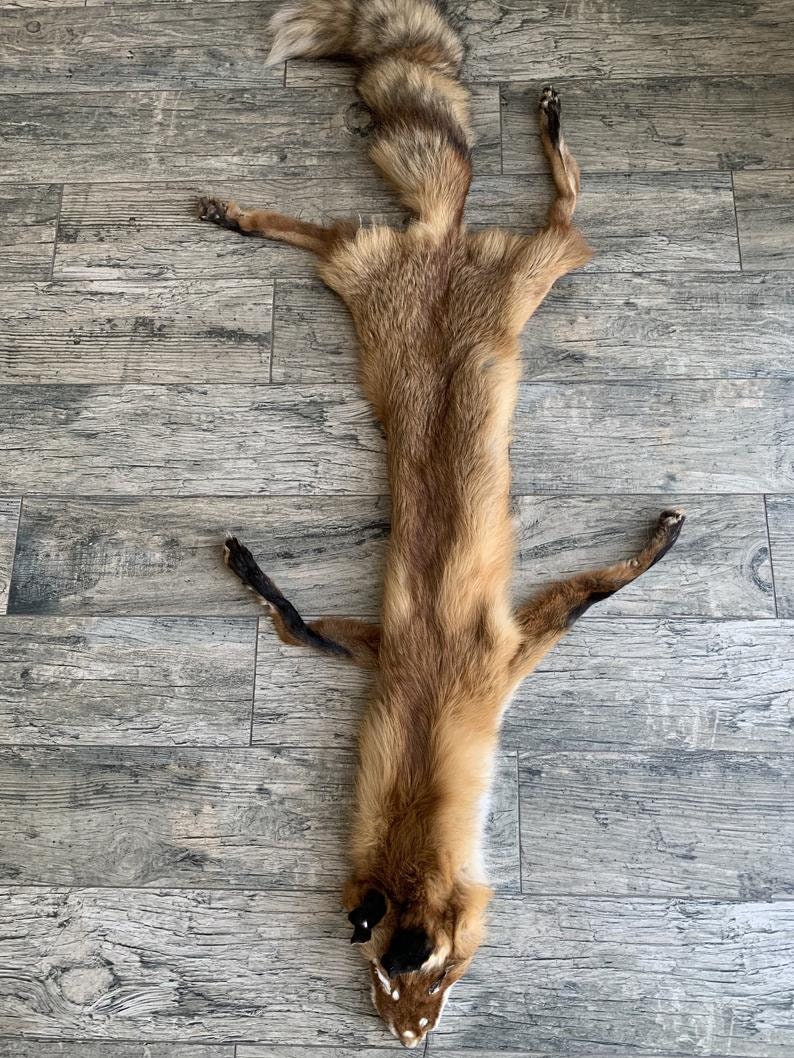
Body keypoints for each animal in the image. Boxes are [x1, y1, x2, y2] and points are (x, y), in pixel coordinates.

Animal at [198, 0, 685, 1047]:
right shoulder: (377, 648)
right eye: (387, 986)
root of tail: (444, 244)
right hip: (365, 273)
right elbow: (293, 617)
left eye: (427, 977)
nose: (406, 1040)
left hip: (526, 274)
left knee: (567, 213)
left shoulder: (506, 651)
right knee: (323, 228)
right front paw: (249, 568)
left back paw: (549, 127)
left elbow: (592, 592)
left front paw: (661, 541)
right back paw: (238, 215)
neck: (424, 724)